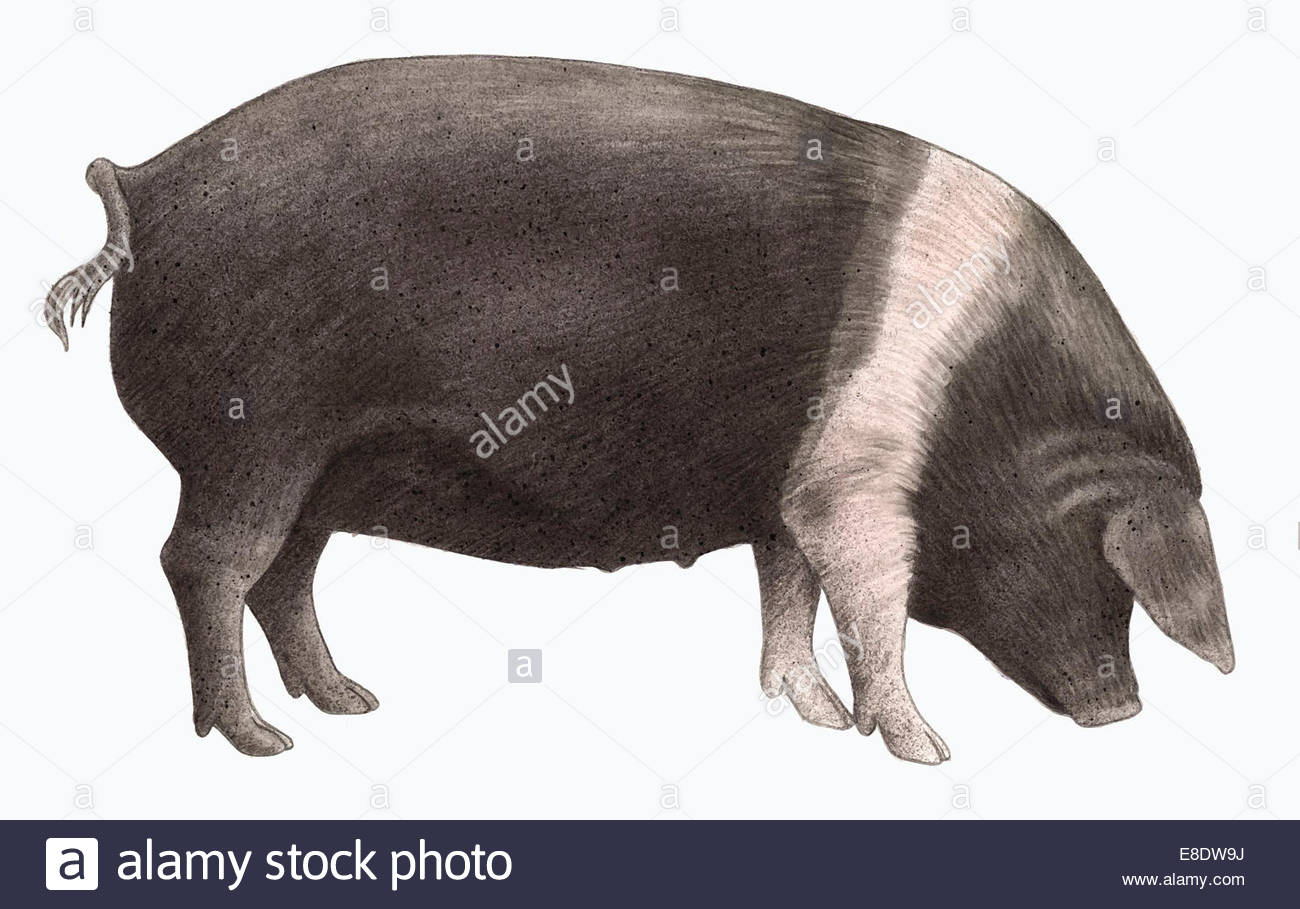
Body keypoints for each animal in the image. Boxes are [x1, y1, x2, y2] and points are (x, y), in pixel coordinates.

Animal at [45, 55, 1233, 763]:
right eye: (1104, 562)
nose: (1122, 712)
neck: (988, 401)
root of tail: (144, 183)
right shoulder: (854, 493)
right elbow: (872, 611)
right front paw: (922, 750)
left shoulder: (791, 492)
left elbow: (788, 593)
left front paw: (810, 716)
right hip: (250, 441)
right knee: (202, 565)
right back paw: (255, 741)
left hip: (317, 474)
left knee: (280, 578)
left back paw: (349, 704)